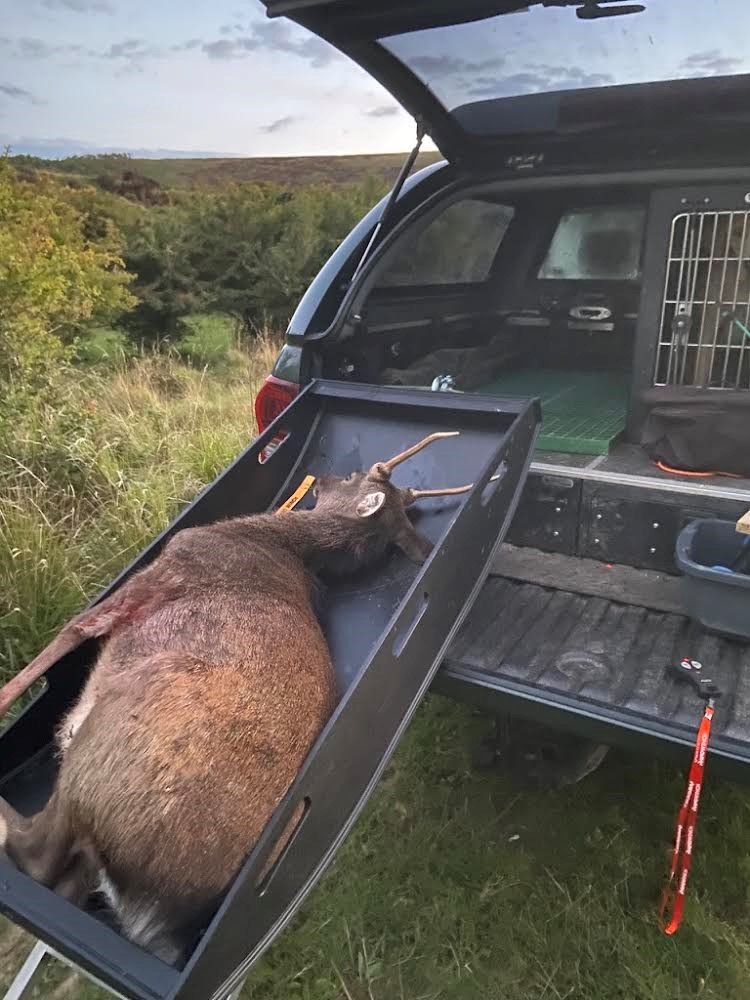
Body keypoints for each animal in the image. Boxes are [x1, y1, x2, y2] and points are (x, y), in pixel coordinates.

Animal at [0, 431, 474, 965]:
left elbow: (73, 628)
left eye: (359, 474)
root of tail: (159, 913)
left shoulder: (168, 569)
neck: (271, 539)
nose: (329, 477)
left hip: (127, 718)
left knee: (33, 854)